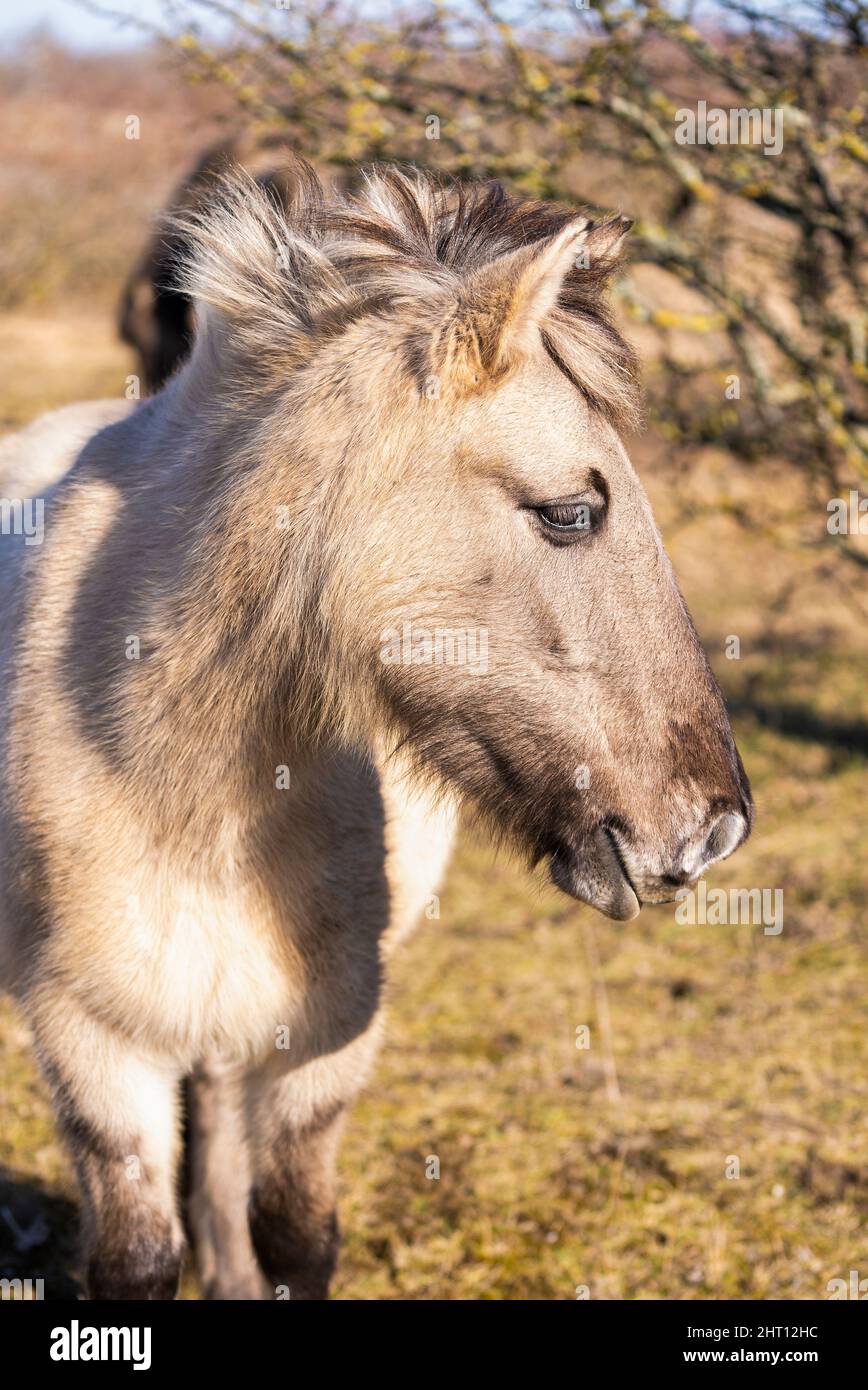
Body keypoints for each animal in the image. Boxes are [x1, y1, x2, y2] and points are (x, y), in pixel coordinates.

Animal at [0, 161, 752, 1299]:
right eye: (571, 511)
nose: (716, 827)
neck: (175, 776)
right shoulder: (93, 1048)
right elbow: (136, 1258)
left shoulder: (326, 1036)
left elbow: (295, 1233)